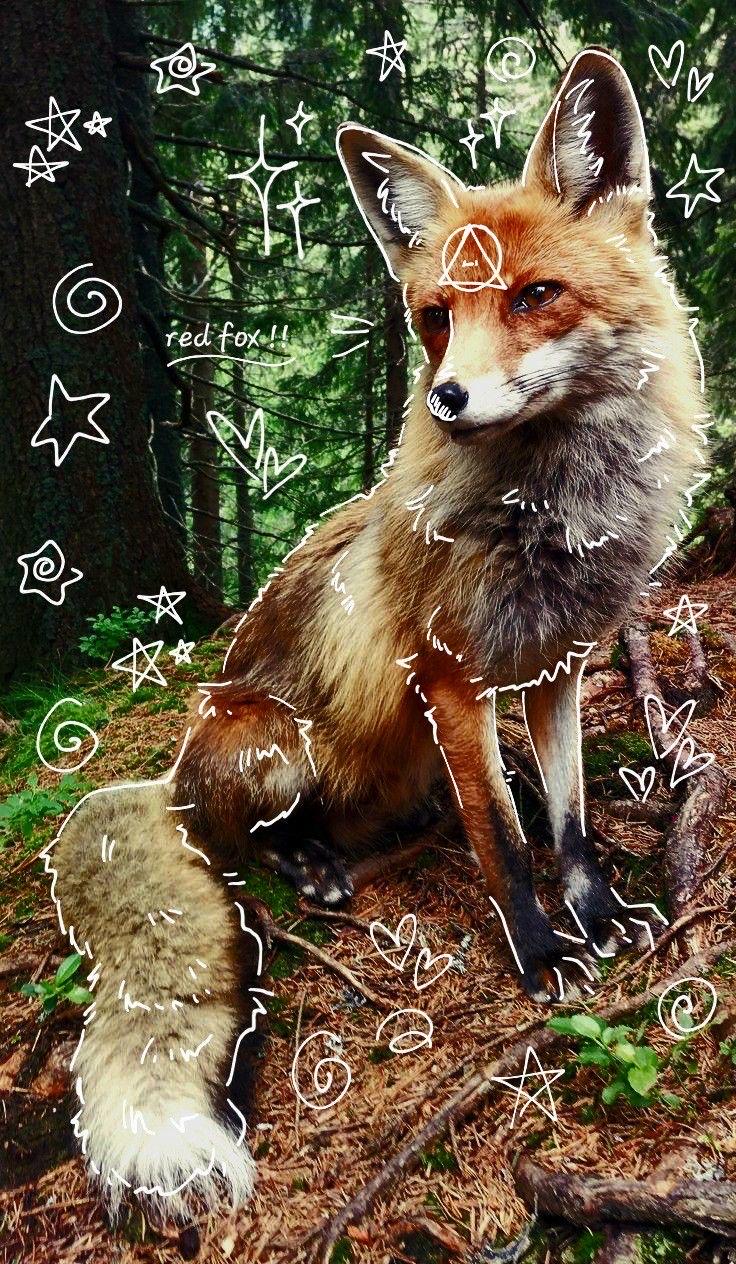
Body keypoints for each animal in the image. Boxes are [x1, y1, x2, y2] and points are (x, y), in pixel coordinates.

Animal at [45, 48, 702, 1220]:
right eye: (436, 315)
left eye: (536, 296)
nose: (447, 398)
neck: (547, 515)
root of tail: (162, 775)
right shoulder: (448, 678)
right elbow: (503, 847)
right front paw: (541, 955)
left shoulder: (558, 666)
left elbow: (570, 822)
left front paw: (598, 911)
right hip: (275, 742)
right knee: (249, 840)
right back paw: (309, 864)